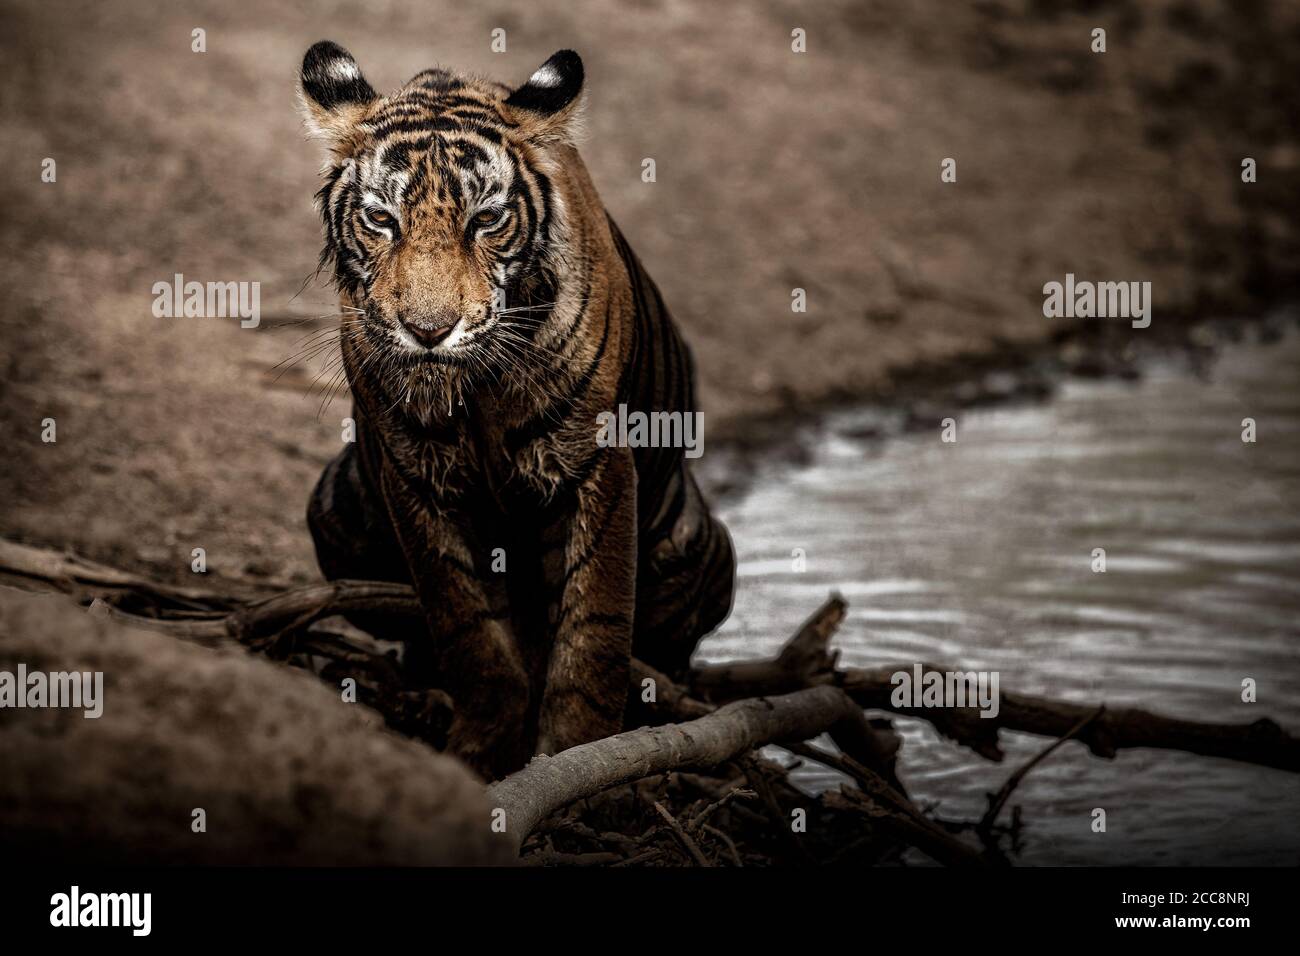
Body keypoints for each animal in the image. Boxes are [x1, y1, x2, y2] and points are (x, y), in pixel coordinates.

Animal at [299, 42, 735, 780]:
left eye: (486, 220)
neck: (473, 393)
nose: (428, 329)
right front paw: (481, 753)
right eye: (382, 219)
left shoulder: (597, 466)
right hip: (335, 511)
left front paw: (579, 759)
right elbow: (470, 633)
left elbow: (593, 635)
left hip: (702, 548)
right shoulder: (412, 475)